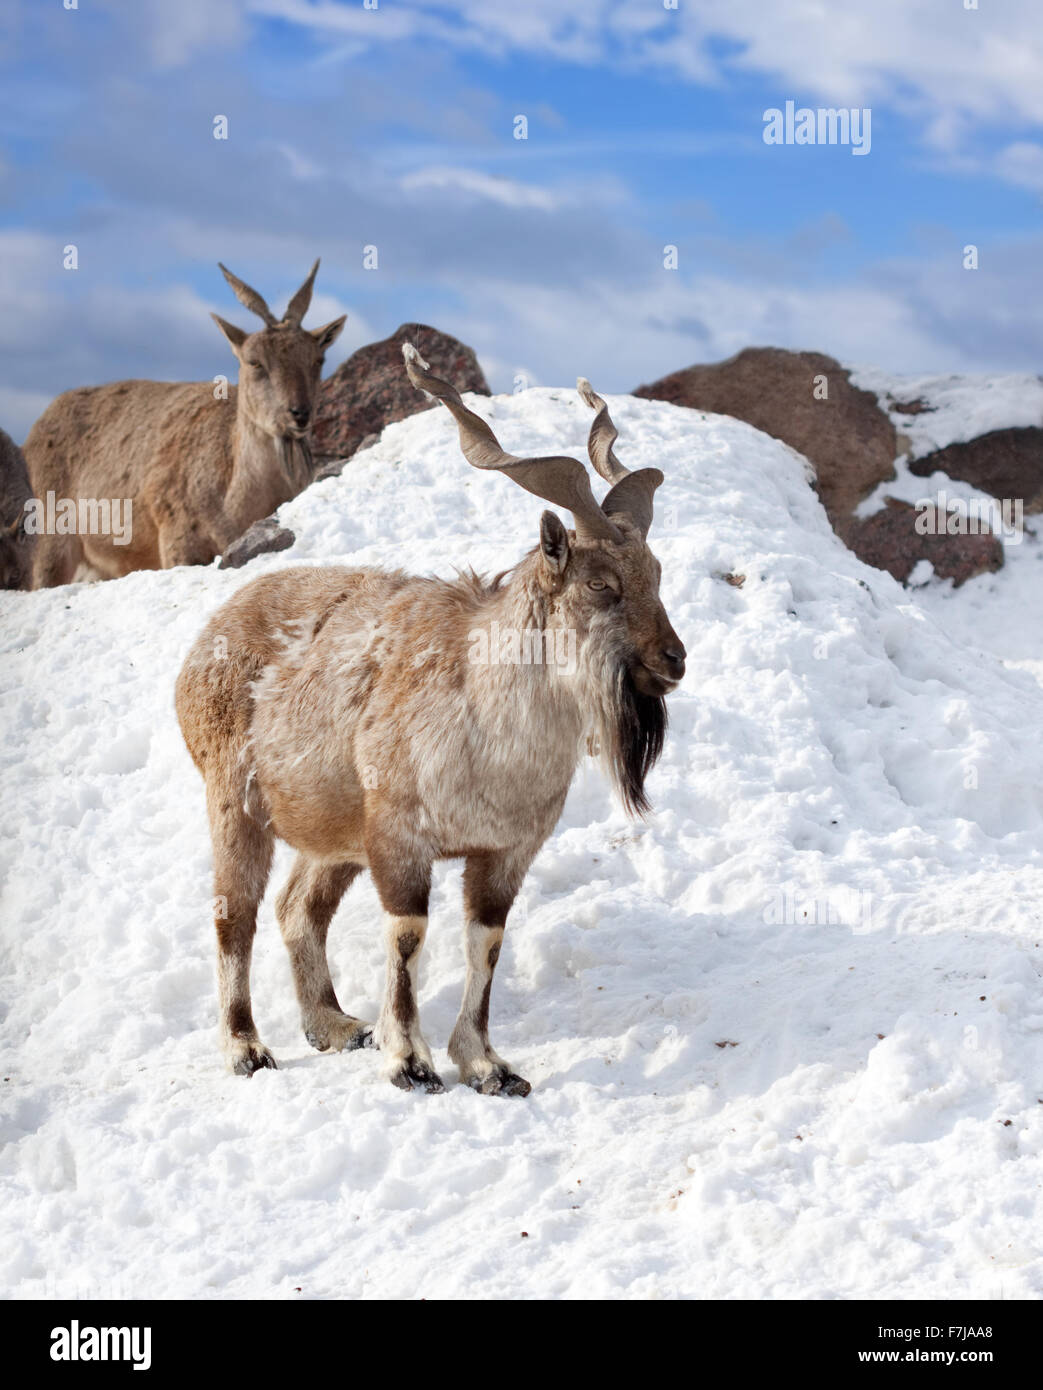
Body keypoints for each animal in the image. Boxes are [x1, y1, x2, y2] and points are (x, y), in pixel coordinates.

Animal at [24, 262, 345, 588]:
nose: (299, 413)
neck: (232, 501)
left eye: (318, 359)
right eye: (255, 361)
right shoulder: (175, 537)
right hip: (52, 534)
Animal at [174, 349, 686, 1094]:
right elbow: (408, 935)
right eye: (600, 584)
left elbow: (485, 942)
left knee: (298, 906)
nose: (674, 660)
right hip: (233, 804)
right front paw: (410, 1061)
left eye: (656, 574)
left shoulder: (501, 853)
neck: (488, 727)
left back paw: (334, 1025)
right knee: (232, 916)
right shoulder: (399, 837)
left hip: (333, 836)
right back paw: (246, 1047)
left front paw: (485, 1063)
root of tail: (204, 639)